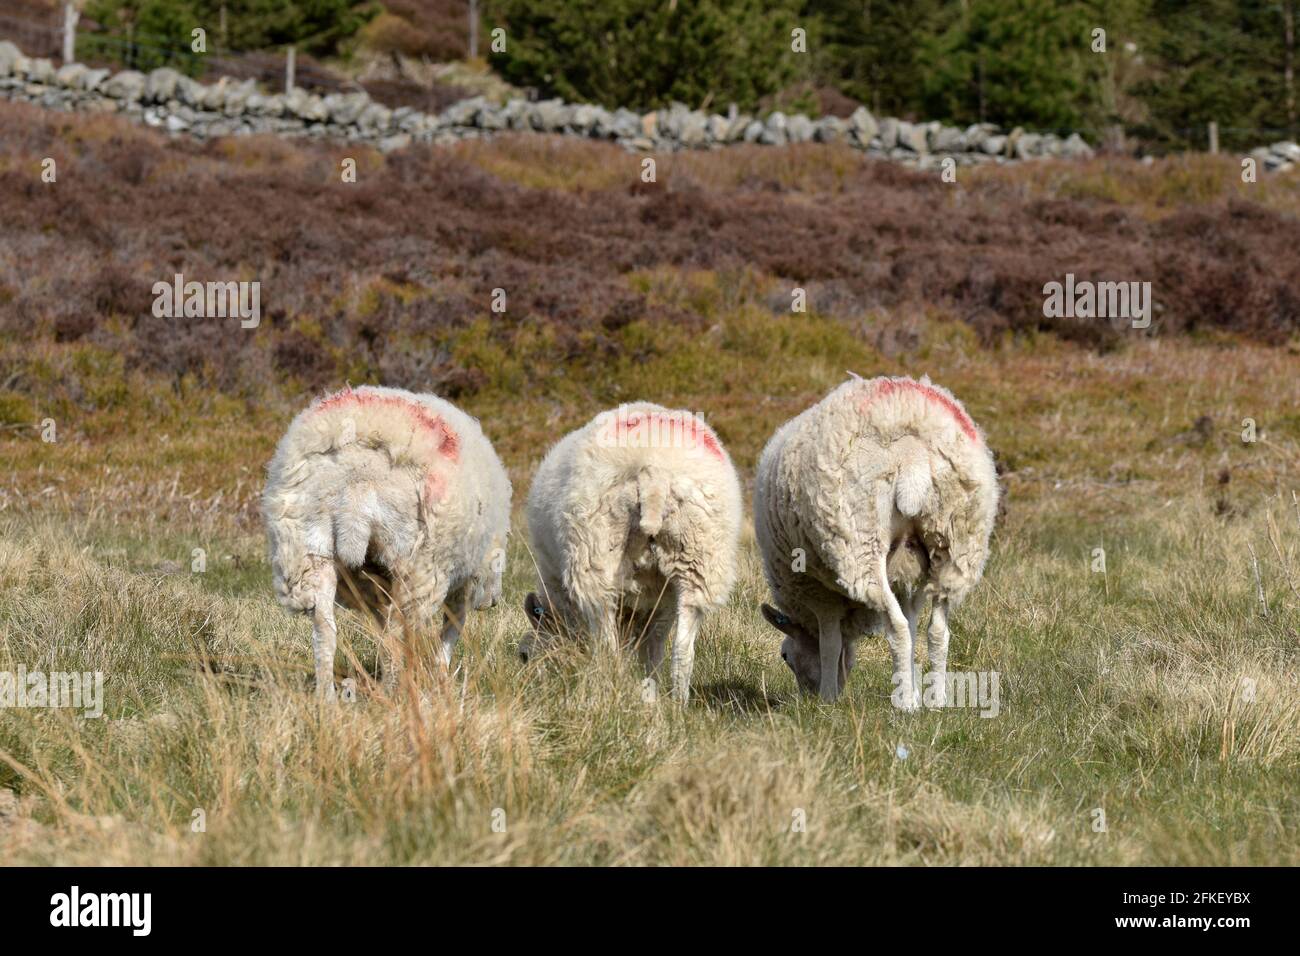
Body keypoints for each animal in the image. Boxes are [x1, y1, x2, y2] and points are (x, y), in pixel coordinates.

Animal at [262, 385, 511, 699]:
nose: (493, 601)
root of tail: (358, 479)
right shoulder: (462, 583)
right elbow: (450, 631)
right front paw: (442, 681)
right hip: (416, 563)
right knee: (398, 631)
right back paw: (395, 693)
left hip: (304, 549)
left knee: (324, 627)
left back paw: (327, 696)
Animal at [520, 403, 743, 703]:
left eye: (524, 656)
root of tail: (653, 471)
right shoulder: (661, 599)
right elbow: (653, 645)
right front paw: (651, 690)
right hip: (699, 560)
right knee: (682, 652)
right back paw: (678, 704)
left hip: (596, 557)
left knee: (608, 648)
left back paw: (608, 691)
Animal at [754, 374, 998, 709]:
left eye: (785, 656)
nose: (807, 697)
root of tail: (911, 456)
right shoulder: (907, 579)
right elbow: (912, 622)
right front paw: (912, 686)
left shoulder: (820, 593)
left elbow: (830, 644)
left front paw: (827, 700)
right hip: (957, 542)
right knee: (938, 630)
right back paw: (936, 700)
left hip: (860, 541)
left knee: (896, 627)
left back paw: (905, 705)